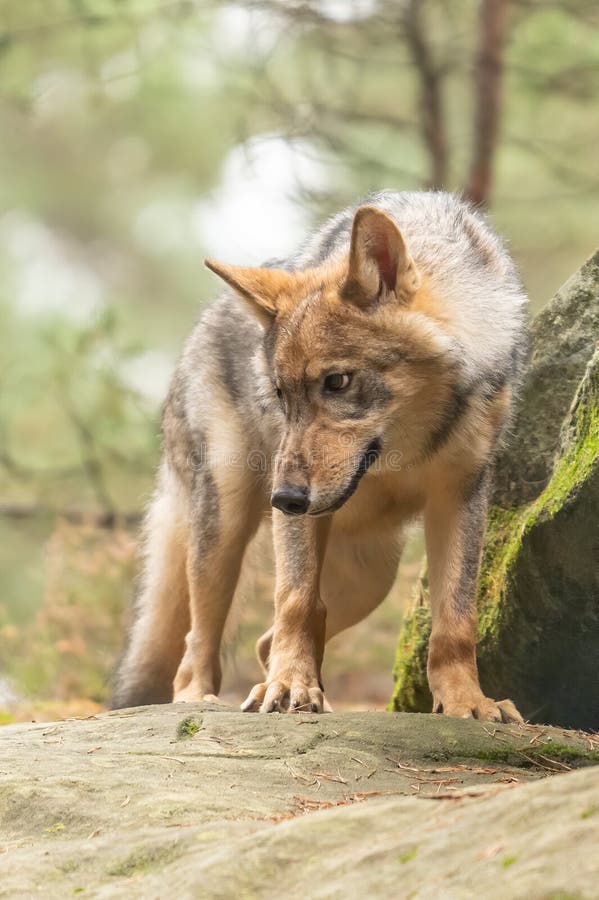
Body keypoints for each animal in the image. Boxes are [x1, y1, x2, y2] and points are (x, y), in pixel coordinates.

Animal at [112, 190, 527, 722]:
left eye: (337, 382)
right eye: (279, 394)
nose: (285, 498)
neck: (407, 449)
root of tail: (202, 324)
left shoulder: (460, 497)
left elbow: (456, 621)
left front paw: (467, 703)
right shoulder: (295, 518)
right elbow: (296, 602)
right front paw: (290, 686)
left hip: (372, 576)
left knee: (265, 641)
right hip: (225, 528)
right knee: (198, 646)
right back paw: (208, 698)